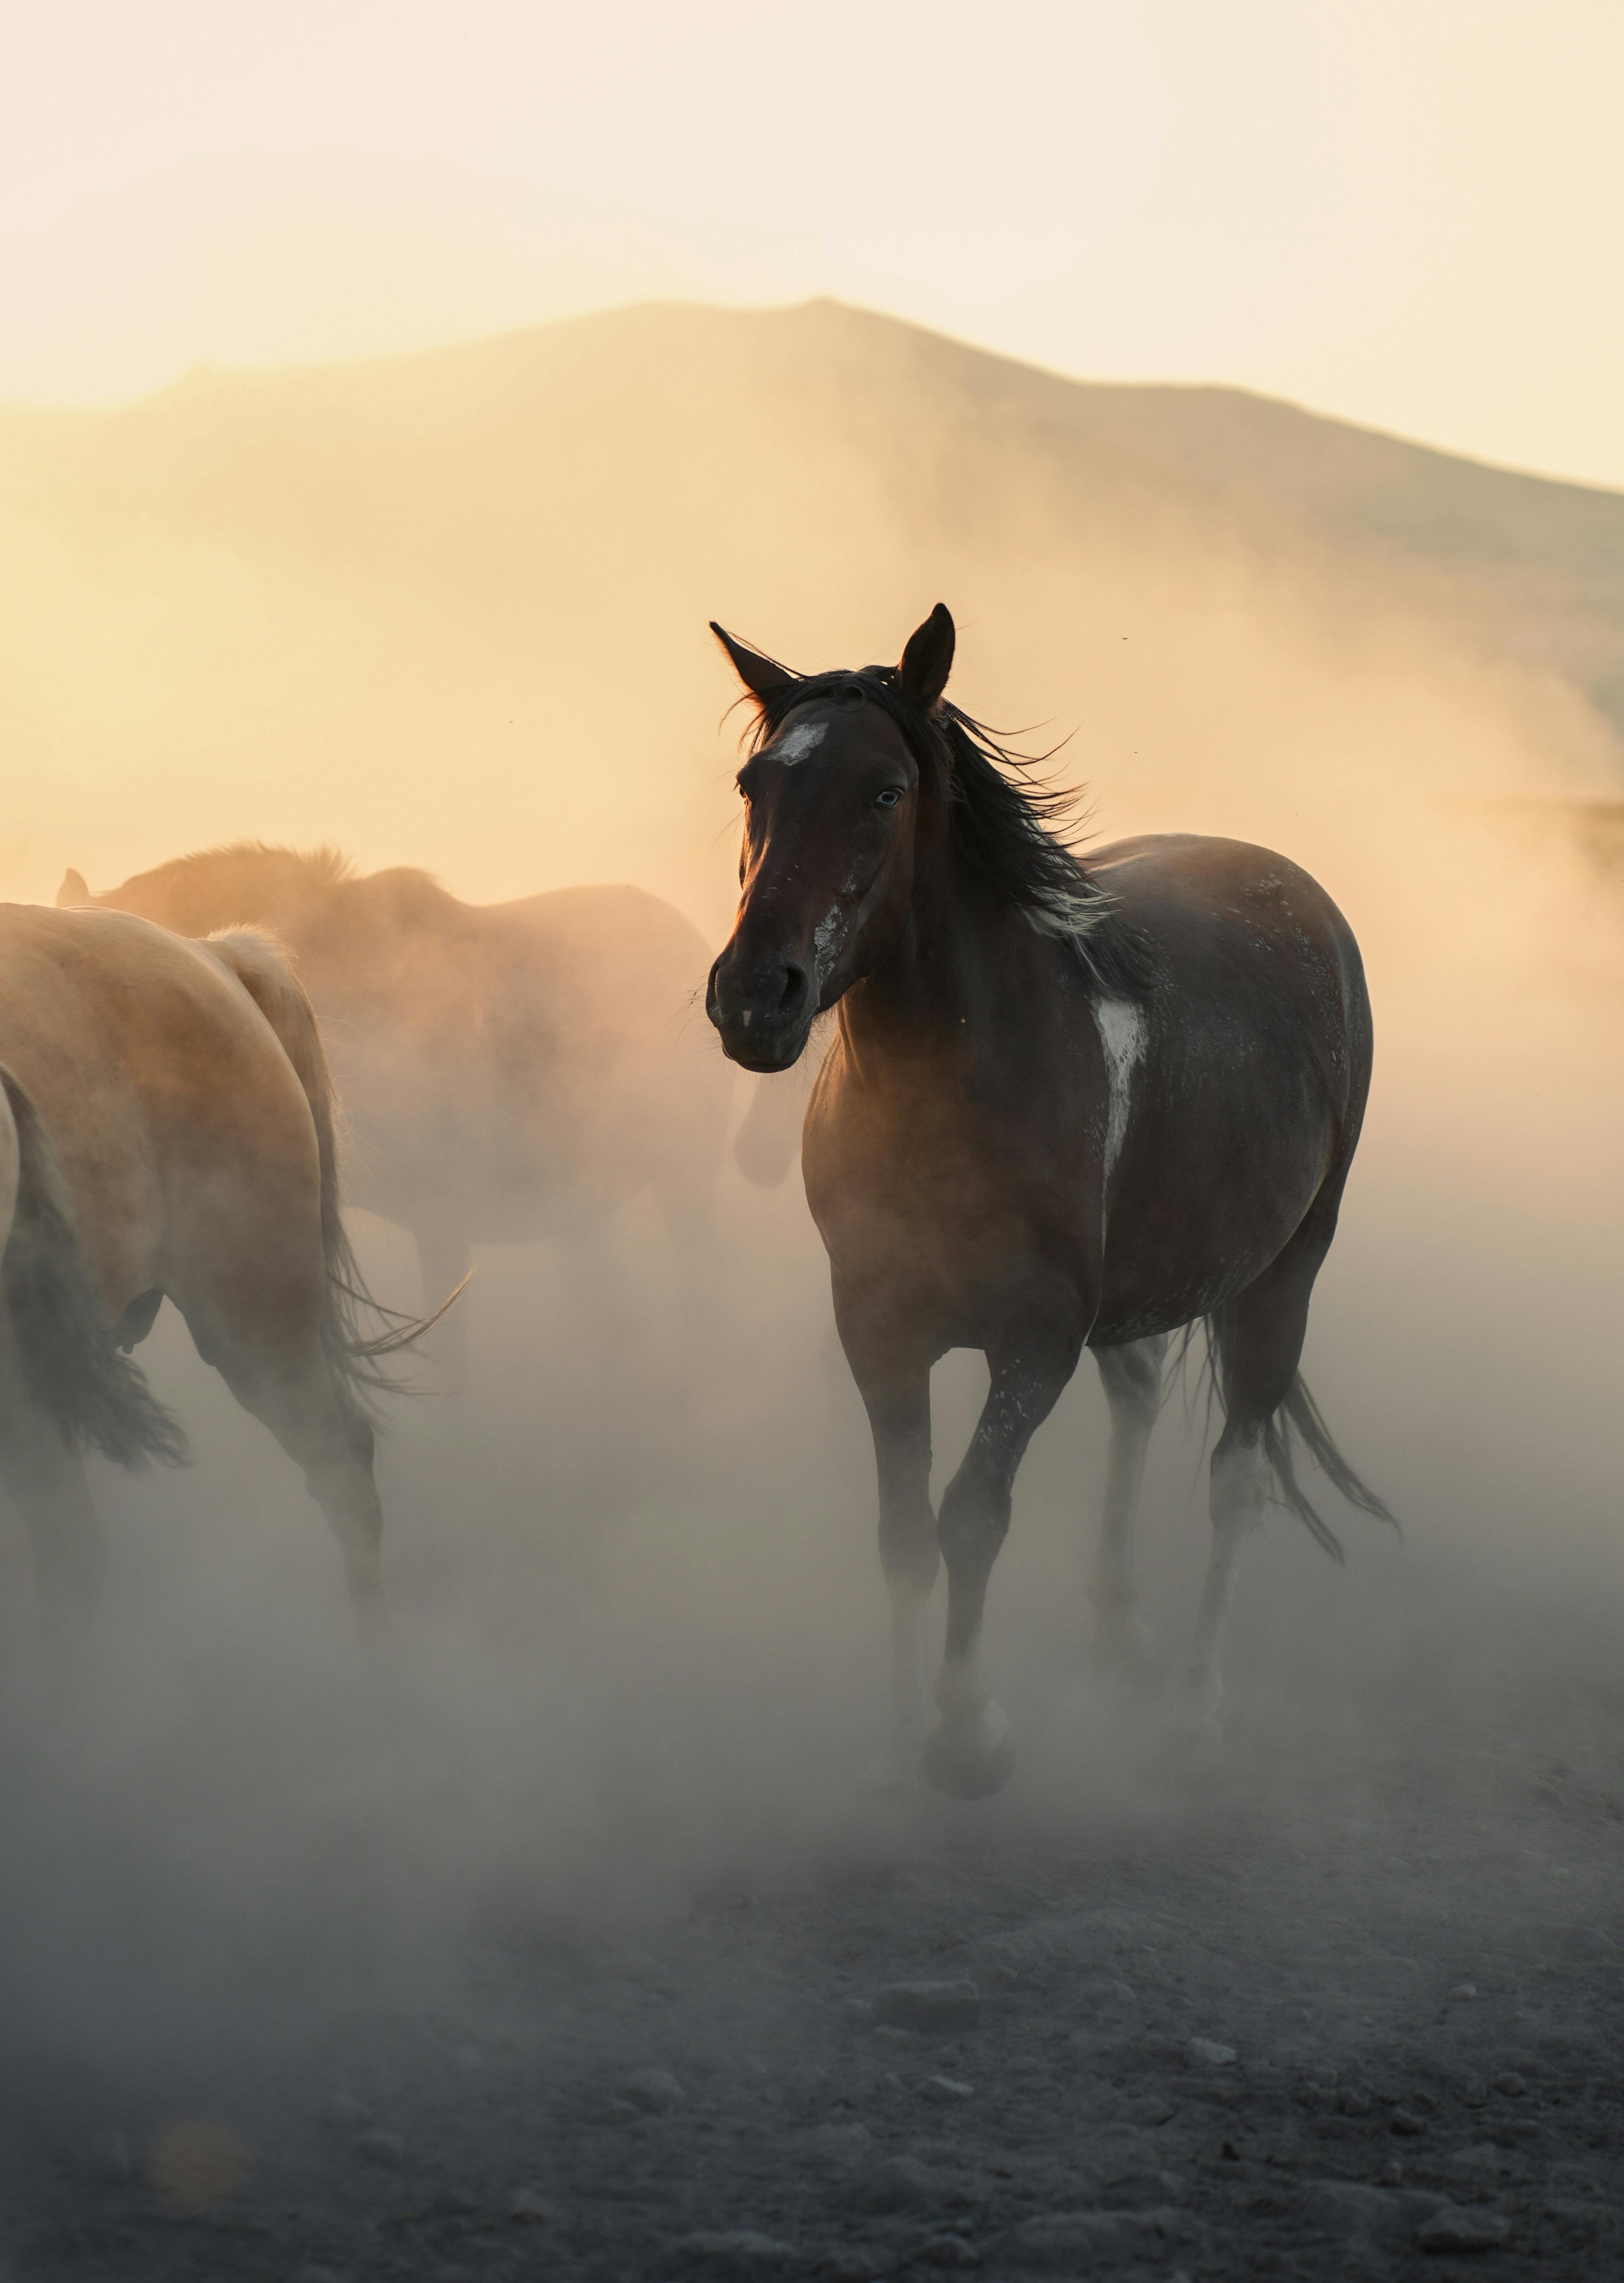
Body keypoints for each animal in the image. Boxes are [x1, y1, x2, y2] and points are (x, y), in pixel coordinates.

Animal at [706, 604, 1394, 1797]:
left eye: (884, 792)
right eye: (756, 782)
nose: (755, 998)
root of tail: (1301, 897)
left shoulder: (1034, 1346)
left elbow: (972, 1518)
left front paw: (970, 1730)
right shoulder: (878, 1331)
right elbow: (902, 1530)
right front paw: (901, 1736)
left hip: (1282, 1277)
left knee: (1236, 1475)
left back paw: (1193, 1711)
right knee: (1142, 1398)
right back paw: (1118, 1626)